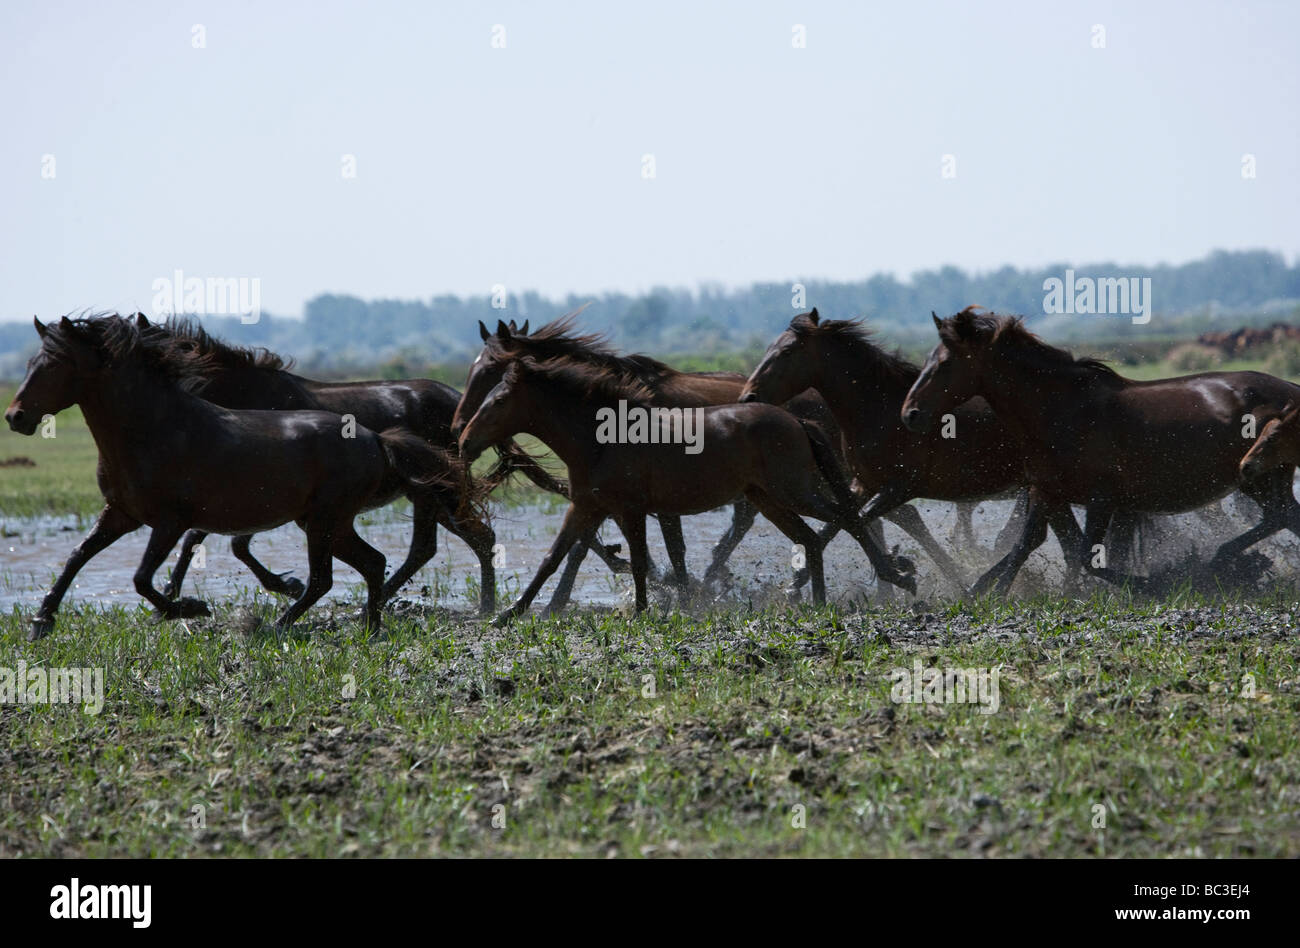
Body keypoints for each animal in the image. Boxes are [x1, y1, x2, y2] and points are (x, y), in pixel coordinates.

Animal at [4, 314, 477, 639]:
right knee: (374, 562)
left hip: (326, 521)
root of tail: (377, 438)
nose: (15, 416)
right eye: (30, 362)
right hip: (330, 521)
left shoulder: (170, 521)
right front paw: (41, 620)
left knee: (330, 577)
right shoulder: (120, 513)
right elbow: (77, 556)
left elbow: (144, 576)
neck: (153, 428)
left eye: (54, 365)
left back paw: (283, 624)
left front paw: (189, 607)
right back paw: (368, 626)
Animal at [131, 313, 582, 615]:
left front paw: (286, 586)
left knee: (445, 543)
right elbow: (204, 538)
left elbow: (221, 541)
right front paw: (171, 596)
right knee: (451, 542)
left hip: (431, 491)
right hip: (430, 492)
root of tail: (458, 403)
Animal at [449, 316, 888, 610]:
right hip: (769, 497)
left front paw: (667, 601)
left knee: (848, 517)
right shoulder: (593, 505)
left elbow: (649, 555)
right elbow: (561, 554)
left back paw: (891, 573)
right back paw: (827, 594)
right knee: (818, 532)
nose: (461, 434)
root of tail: (799, 419)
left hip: (796, 490)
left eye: (492, 379)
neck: (601, 435)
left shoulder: (635, 508)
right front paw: (518, 611)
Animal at [900, 307, 1300, 594]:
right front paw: (989, 594)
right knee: (1282, 516)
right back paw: (1228, 561)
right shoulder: (1046, 492)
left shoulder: (1102, 498)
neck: (1060, 409)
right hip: (1261, 478)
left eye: (944, 363)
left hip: (1257, 477)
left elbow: (1084, 555)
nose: (910, 413)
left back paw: (1223, 562)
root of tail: (1291, 391)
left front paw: (1153, 584)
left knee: (1280, 516)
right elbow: (1023, 544)